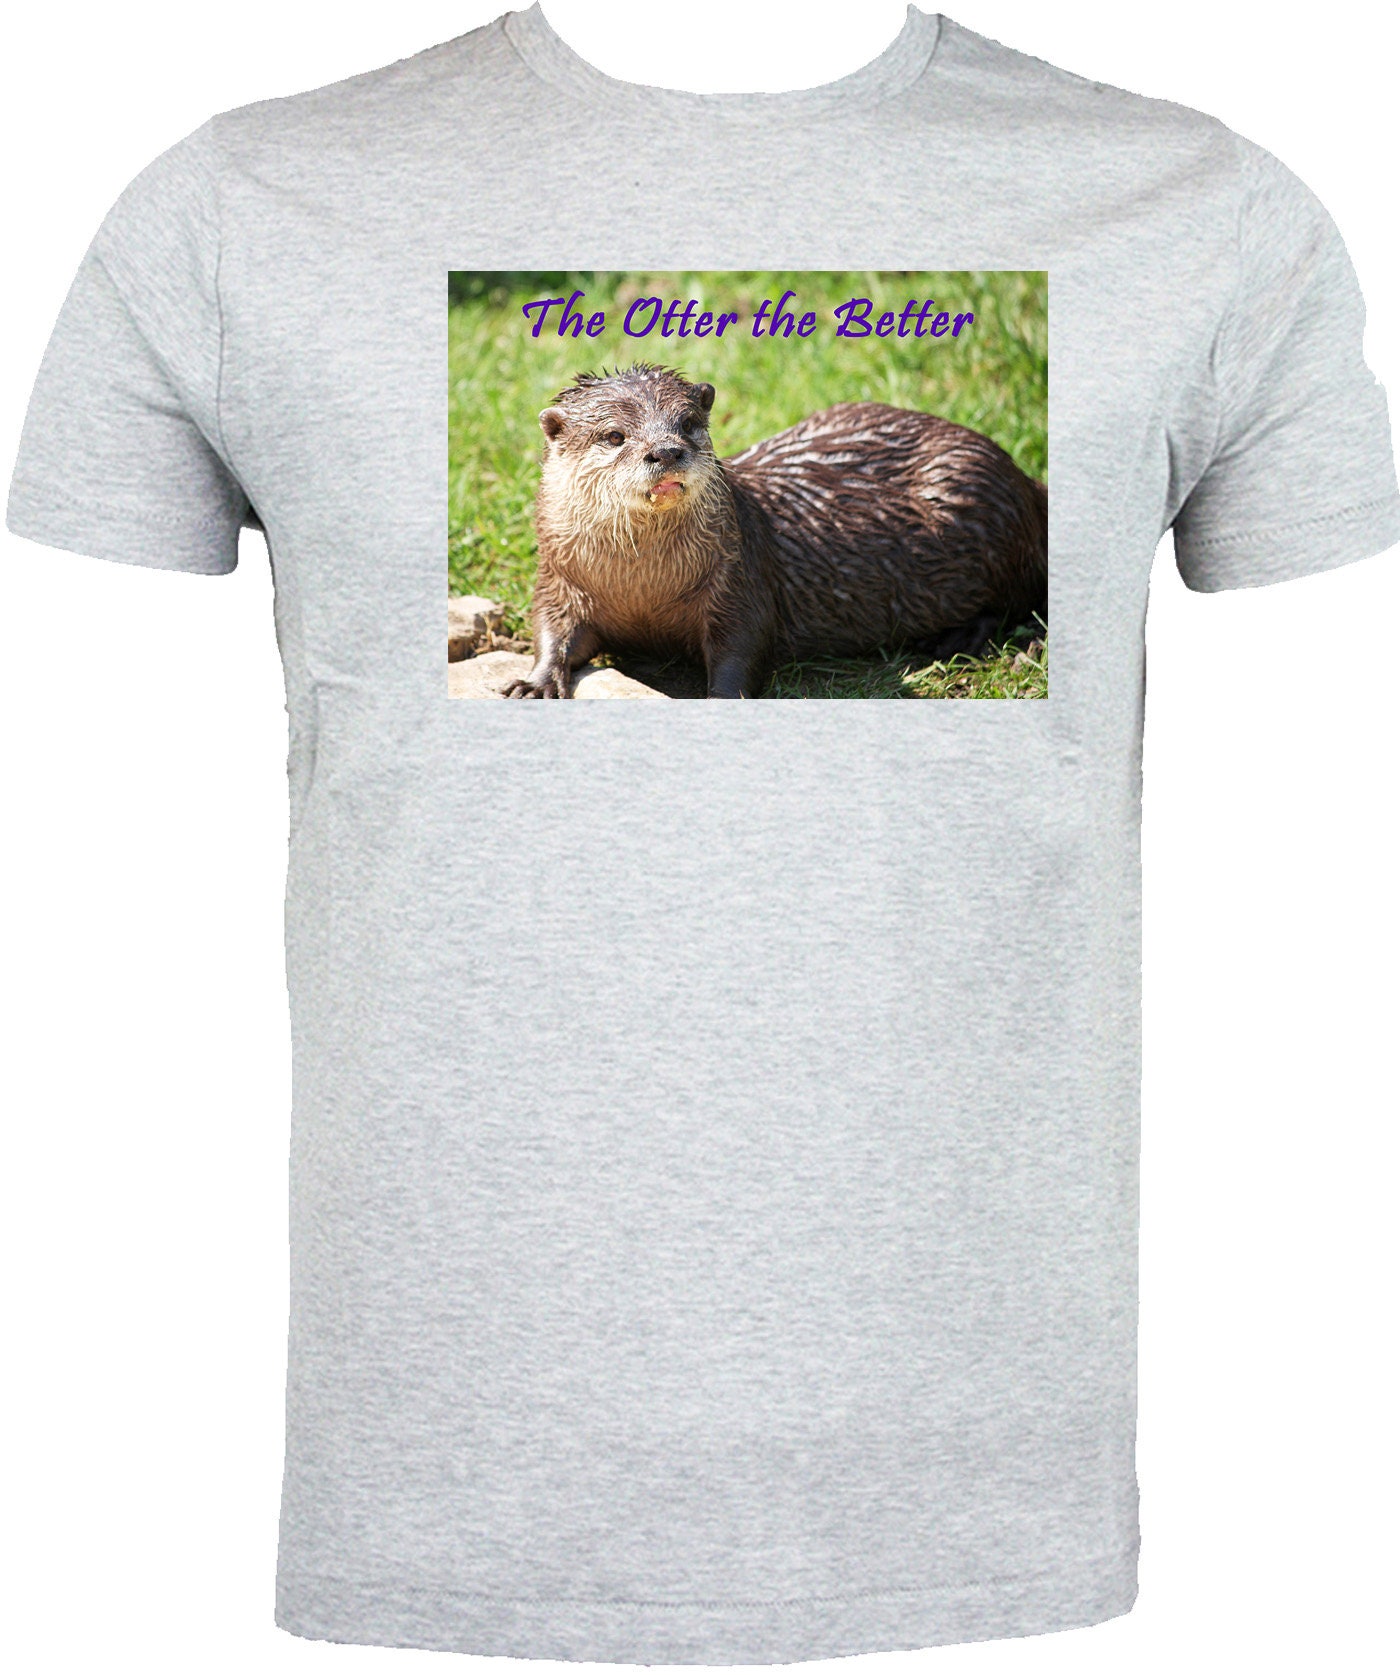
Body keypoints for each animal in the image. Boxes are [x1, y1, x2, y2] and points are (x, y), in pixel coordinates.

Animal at [502, 364, 1046, 699]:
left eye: (688, 423)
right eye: (614, 436)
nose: (666, 451)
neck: (643, 586)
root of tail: (1023, 479)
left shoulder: (740, 578)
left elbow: (743, 645)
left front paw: (723, 696)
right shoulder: (559, 578)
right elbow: (552, 628)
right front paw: (535, 681)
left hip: (979, 502)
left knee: (1015, 597)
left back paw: (956, 639)